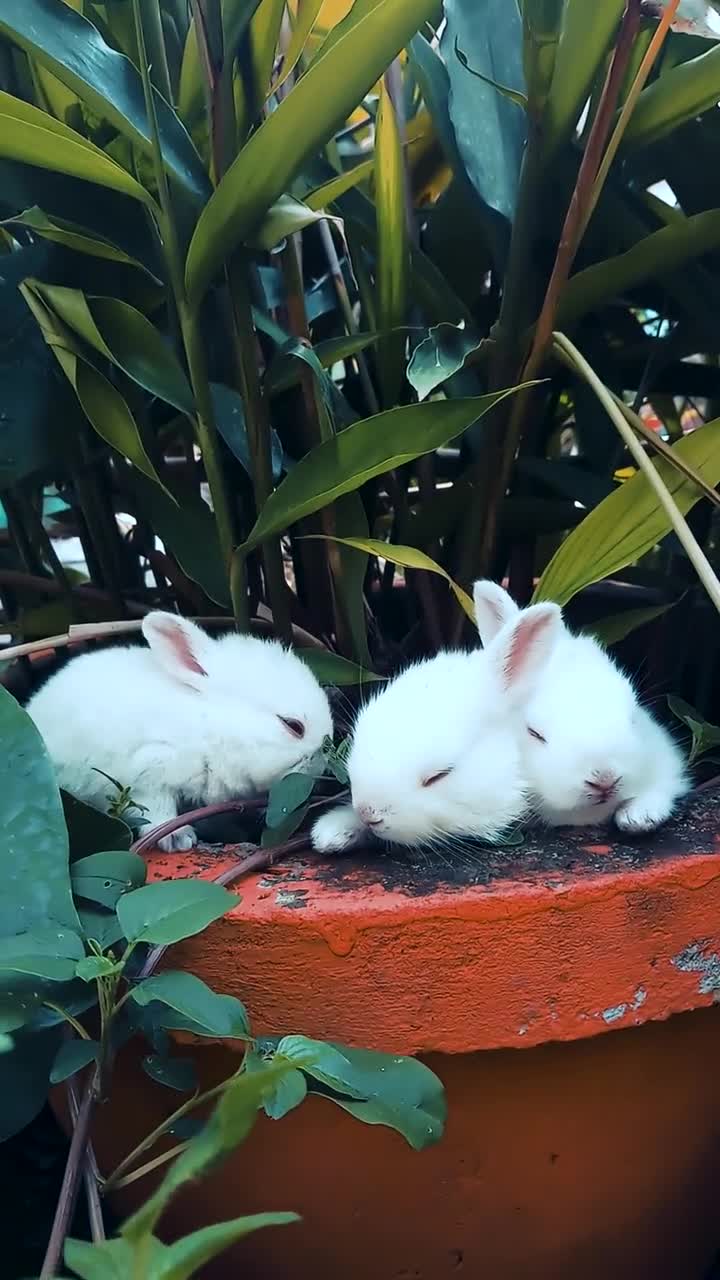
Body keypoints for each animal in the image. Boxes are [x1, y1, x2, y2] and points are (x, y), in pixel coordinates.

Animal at [26, 611, 333, 851]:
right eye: (293, 726)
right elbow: (158, 812)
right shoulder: (149, 772)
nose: (322, 766)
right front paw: (179, 840)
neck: (210, 726)